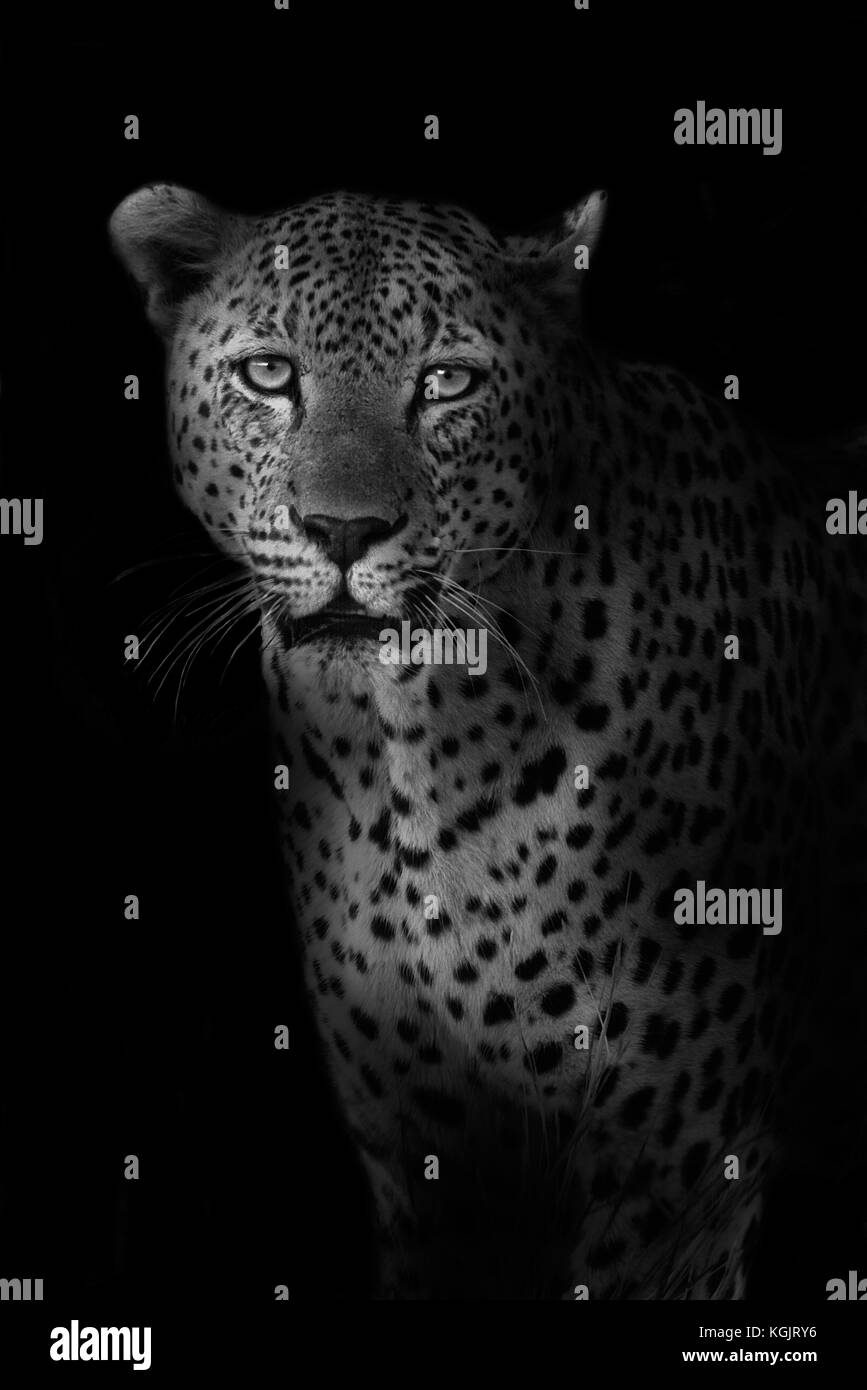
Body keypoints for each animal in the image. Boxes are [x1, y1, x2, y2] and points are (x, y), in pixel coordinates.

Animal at [110, 182, 867, 1300]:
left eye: (447, 383)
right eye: (270, 373)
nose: (344, 530)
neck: (403, 749)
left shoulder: (680, 1165)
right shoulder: (429, 1157)